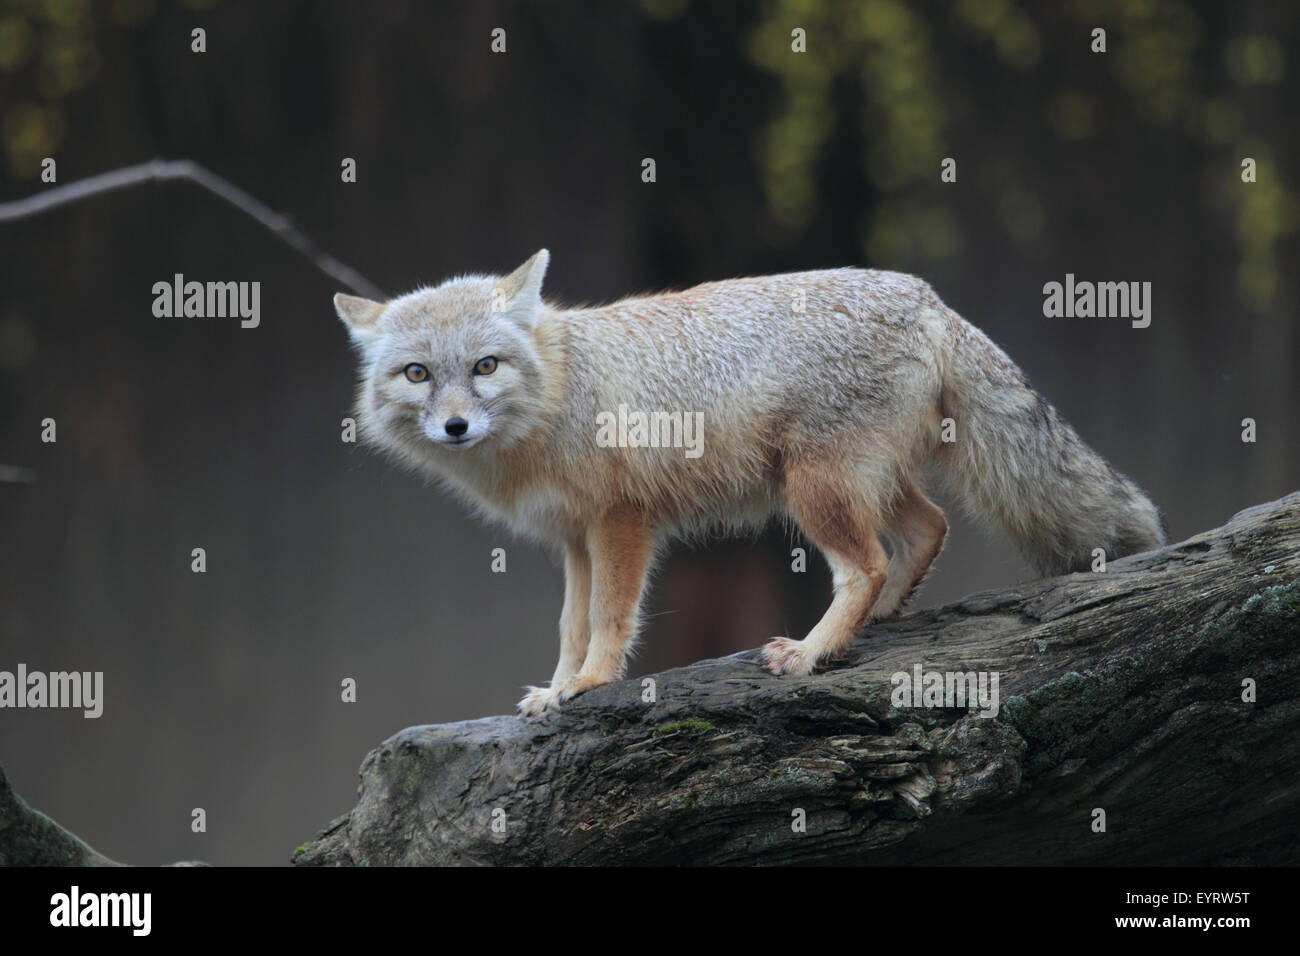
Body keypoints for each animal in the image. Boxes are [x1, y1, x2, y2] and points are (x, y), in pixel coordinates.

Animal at [335, 250, 1166, 716]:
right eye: (418, 374)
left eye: (485, 366)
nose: (454, 427)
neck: (561, 388)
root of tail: (925, 296)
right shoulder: (572, 537)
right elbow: (570, 626)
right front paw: (553, 690)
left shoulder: (619, 521)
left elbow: (608, 618)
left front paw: (592, 684)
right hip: (853, 481)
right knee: (928, 527)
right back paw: (876, 623)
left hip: (813, 492)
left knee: (866, 564)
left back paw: (812, 652)